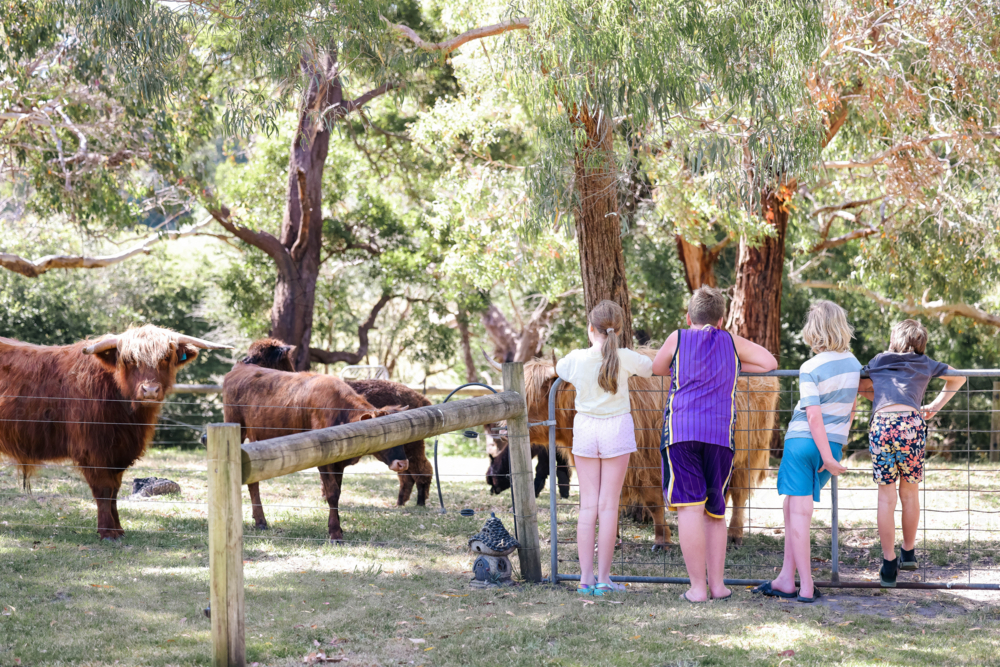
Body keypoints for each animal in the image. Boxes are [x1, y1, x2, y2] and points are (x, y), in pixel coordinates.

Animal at [0, 326, 230, 539]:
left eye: (165, 358)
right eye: (130, 360)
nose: (150, 390)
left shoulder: (118, 452)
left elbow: (114, 491)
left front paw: (118, 529)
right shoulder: (94, 450)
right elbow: (103, 490)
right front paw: (107, 532)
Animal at [223, 344, 410, 542]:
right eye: (385, 433)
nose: (403, 463)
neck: (341, 413)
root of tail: (241, 367)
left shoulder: (339, 463)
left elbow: (338, 491)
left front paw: (338, 527)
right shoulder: (324, 459)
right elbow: (332, 493)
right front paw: (335, 533)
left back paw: (259, 520)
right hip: (237, 426)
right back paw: (260, 521)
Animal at [485, 348, 779, 547]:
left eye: (532, 394)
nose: (499, 426)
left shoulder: (647, 462)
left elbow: (652, 501)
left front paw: (662, 539)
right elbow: (607, 500)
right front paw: (609, 538)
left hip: (748, 454)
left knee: (739, 494)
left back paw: (735, 534)